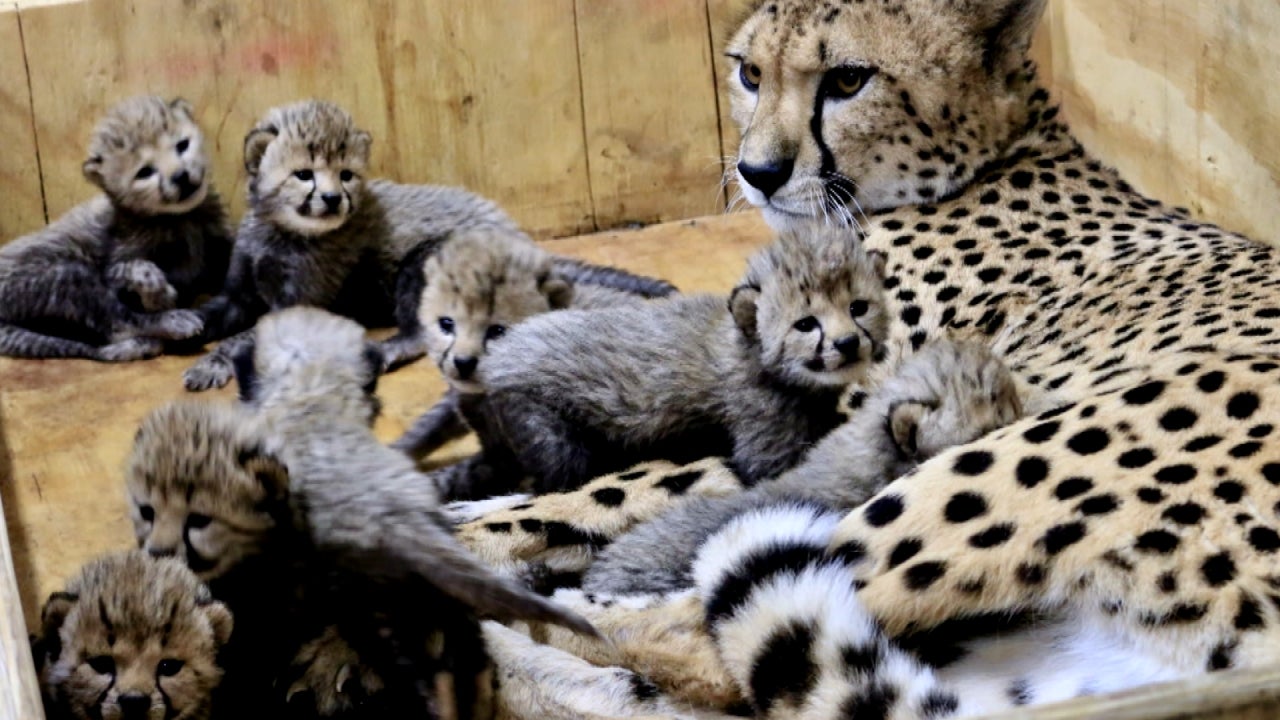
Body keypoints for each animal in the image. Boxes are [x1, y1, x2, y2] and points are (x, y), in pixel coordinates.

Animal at [0, 95, 230, 361]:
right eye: (144, 172)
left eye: (182, 145)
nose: (180, 176)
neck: (179, 218)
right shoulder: (110, 267)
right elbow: (137, 268)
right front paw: (159, 295)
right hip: (65, 275)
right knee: (117, 324)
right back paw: (172, 323)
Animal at [184, 98, 673, 392]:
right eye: (304, 174)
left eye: (346, 175)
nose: (333, 199)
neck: (283, 230)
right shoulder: (239, 291)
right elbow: (215, 313)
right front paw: (182, 324)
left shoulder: (298, 302)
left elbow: (243, 336)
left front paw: (210, 363)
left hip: (423, 261)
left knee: (422, 332)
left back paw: (382, 350)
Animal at [442, 0, 1280, 714]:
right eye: (751, 74)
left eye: (848, 80)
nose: (759, 173)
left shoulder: (825, 429)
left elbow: (619, 489)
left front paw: (470, 534)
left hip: (1003, 467)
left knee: (700, 634)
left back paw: (512, 625)